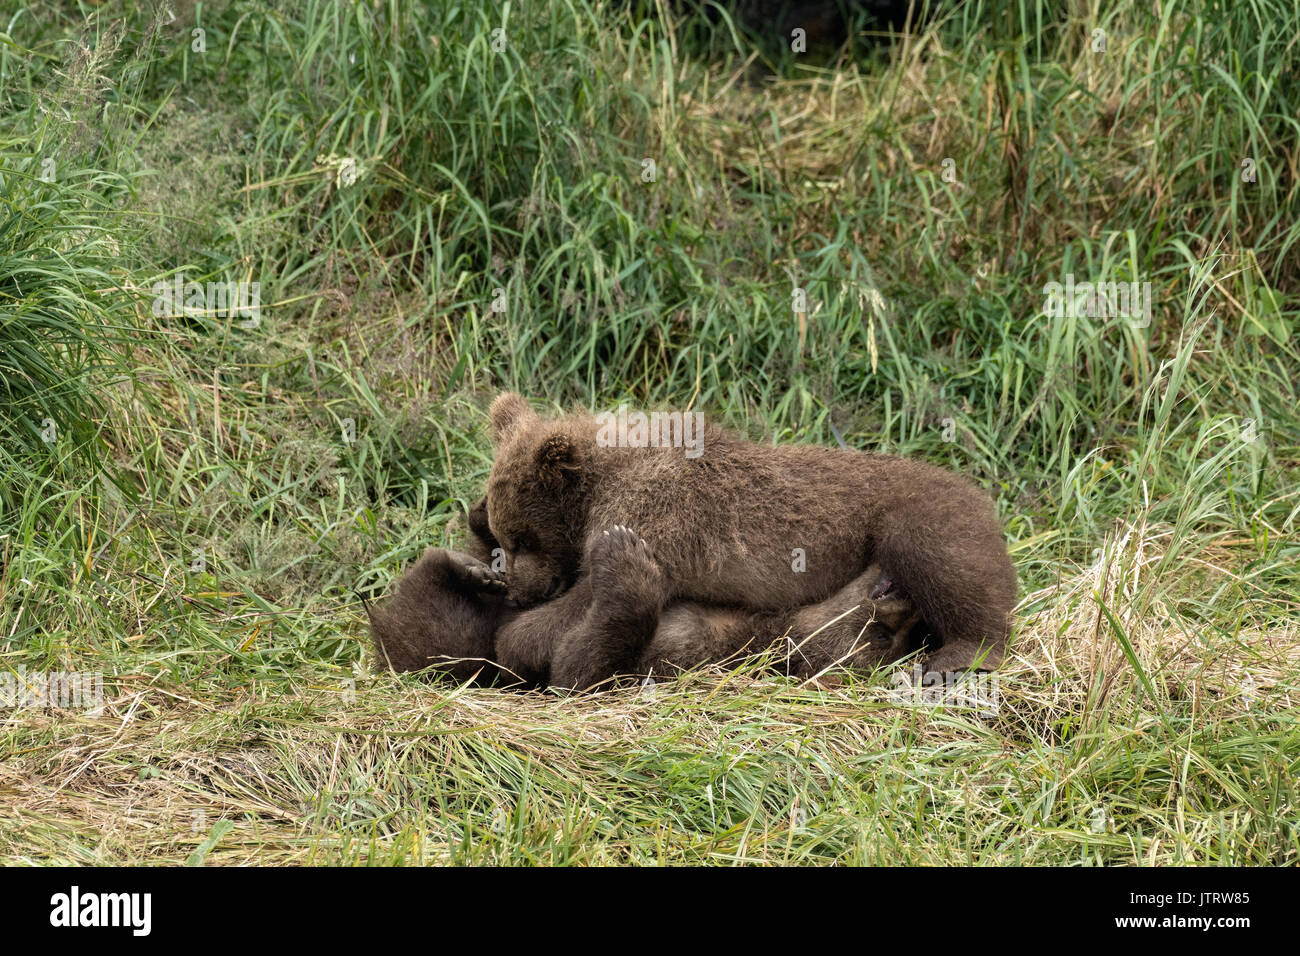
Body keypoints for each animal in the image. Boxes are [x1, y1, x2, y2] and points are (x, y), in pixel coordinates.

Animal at [367, 503, 925, 689]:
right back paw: (470, 565)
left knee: (436, 641)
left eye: (882, 638)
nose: (910, 601)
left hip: (457, 654)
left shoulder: (692, 651)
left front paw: (625, 554)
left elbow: (580, 671)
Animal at [484, 392, 1017, 682]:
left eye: (521, 538)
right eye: (503, 535)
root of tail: (980, 495)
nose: (517, 592)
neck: (601, 482)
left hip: (916, 513)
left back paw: (957, 654)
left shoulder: (653, 520)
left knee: (946, 569)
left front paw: (517, 639)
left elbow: (581, 606)